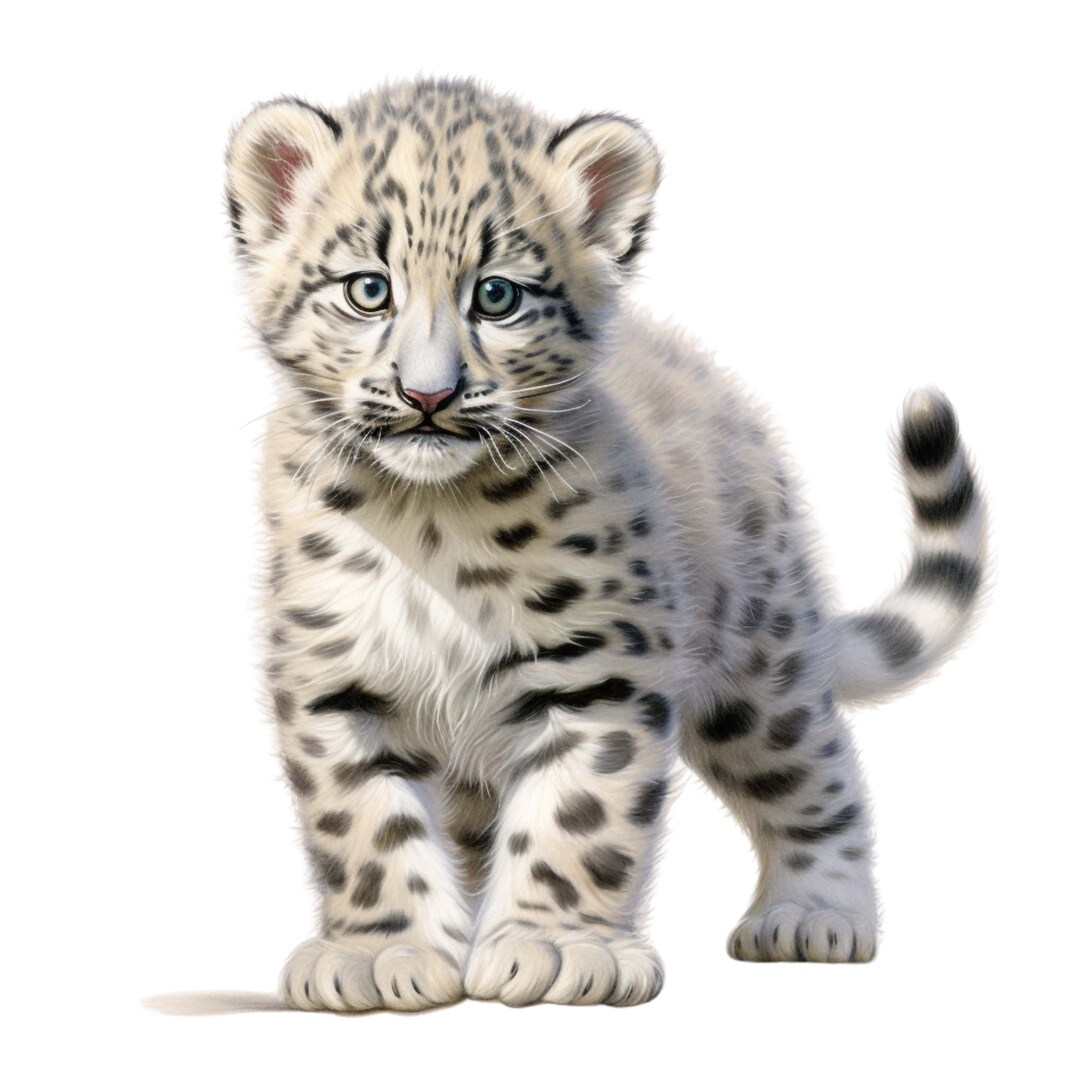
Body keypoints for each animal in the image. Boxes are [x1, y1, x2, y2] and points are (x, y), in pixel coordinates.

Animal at [224, 76, 987, 1011]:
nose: (427, 395)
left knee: (815, 771)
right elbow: (361, 822)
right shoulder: (334, 674)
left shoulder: (594, 668)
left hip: (757, 670)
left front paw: (554, 948)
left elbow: (576, 816)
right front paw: (384, 951)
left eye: (498, 295)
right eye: (368, 289)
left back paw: (813, 913)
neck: (430, 522)